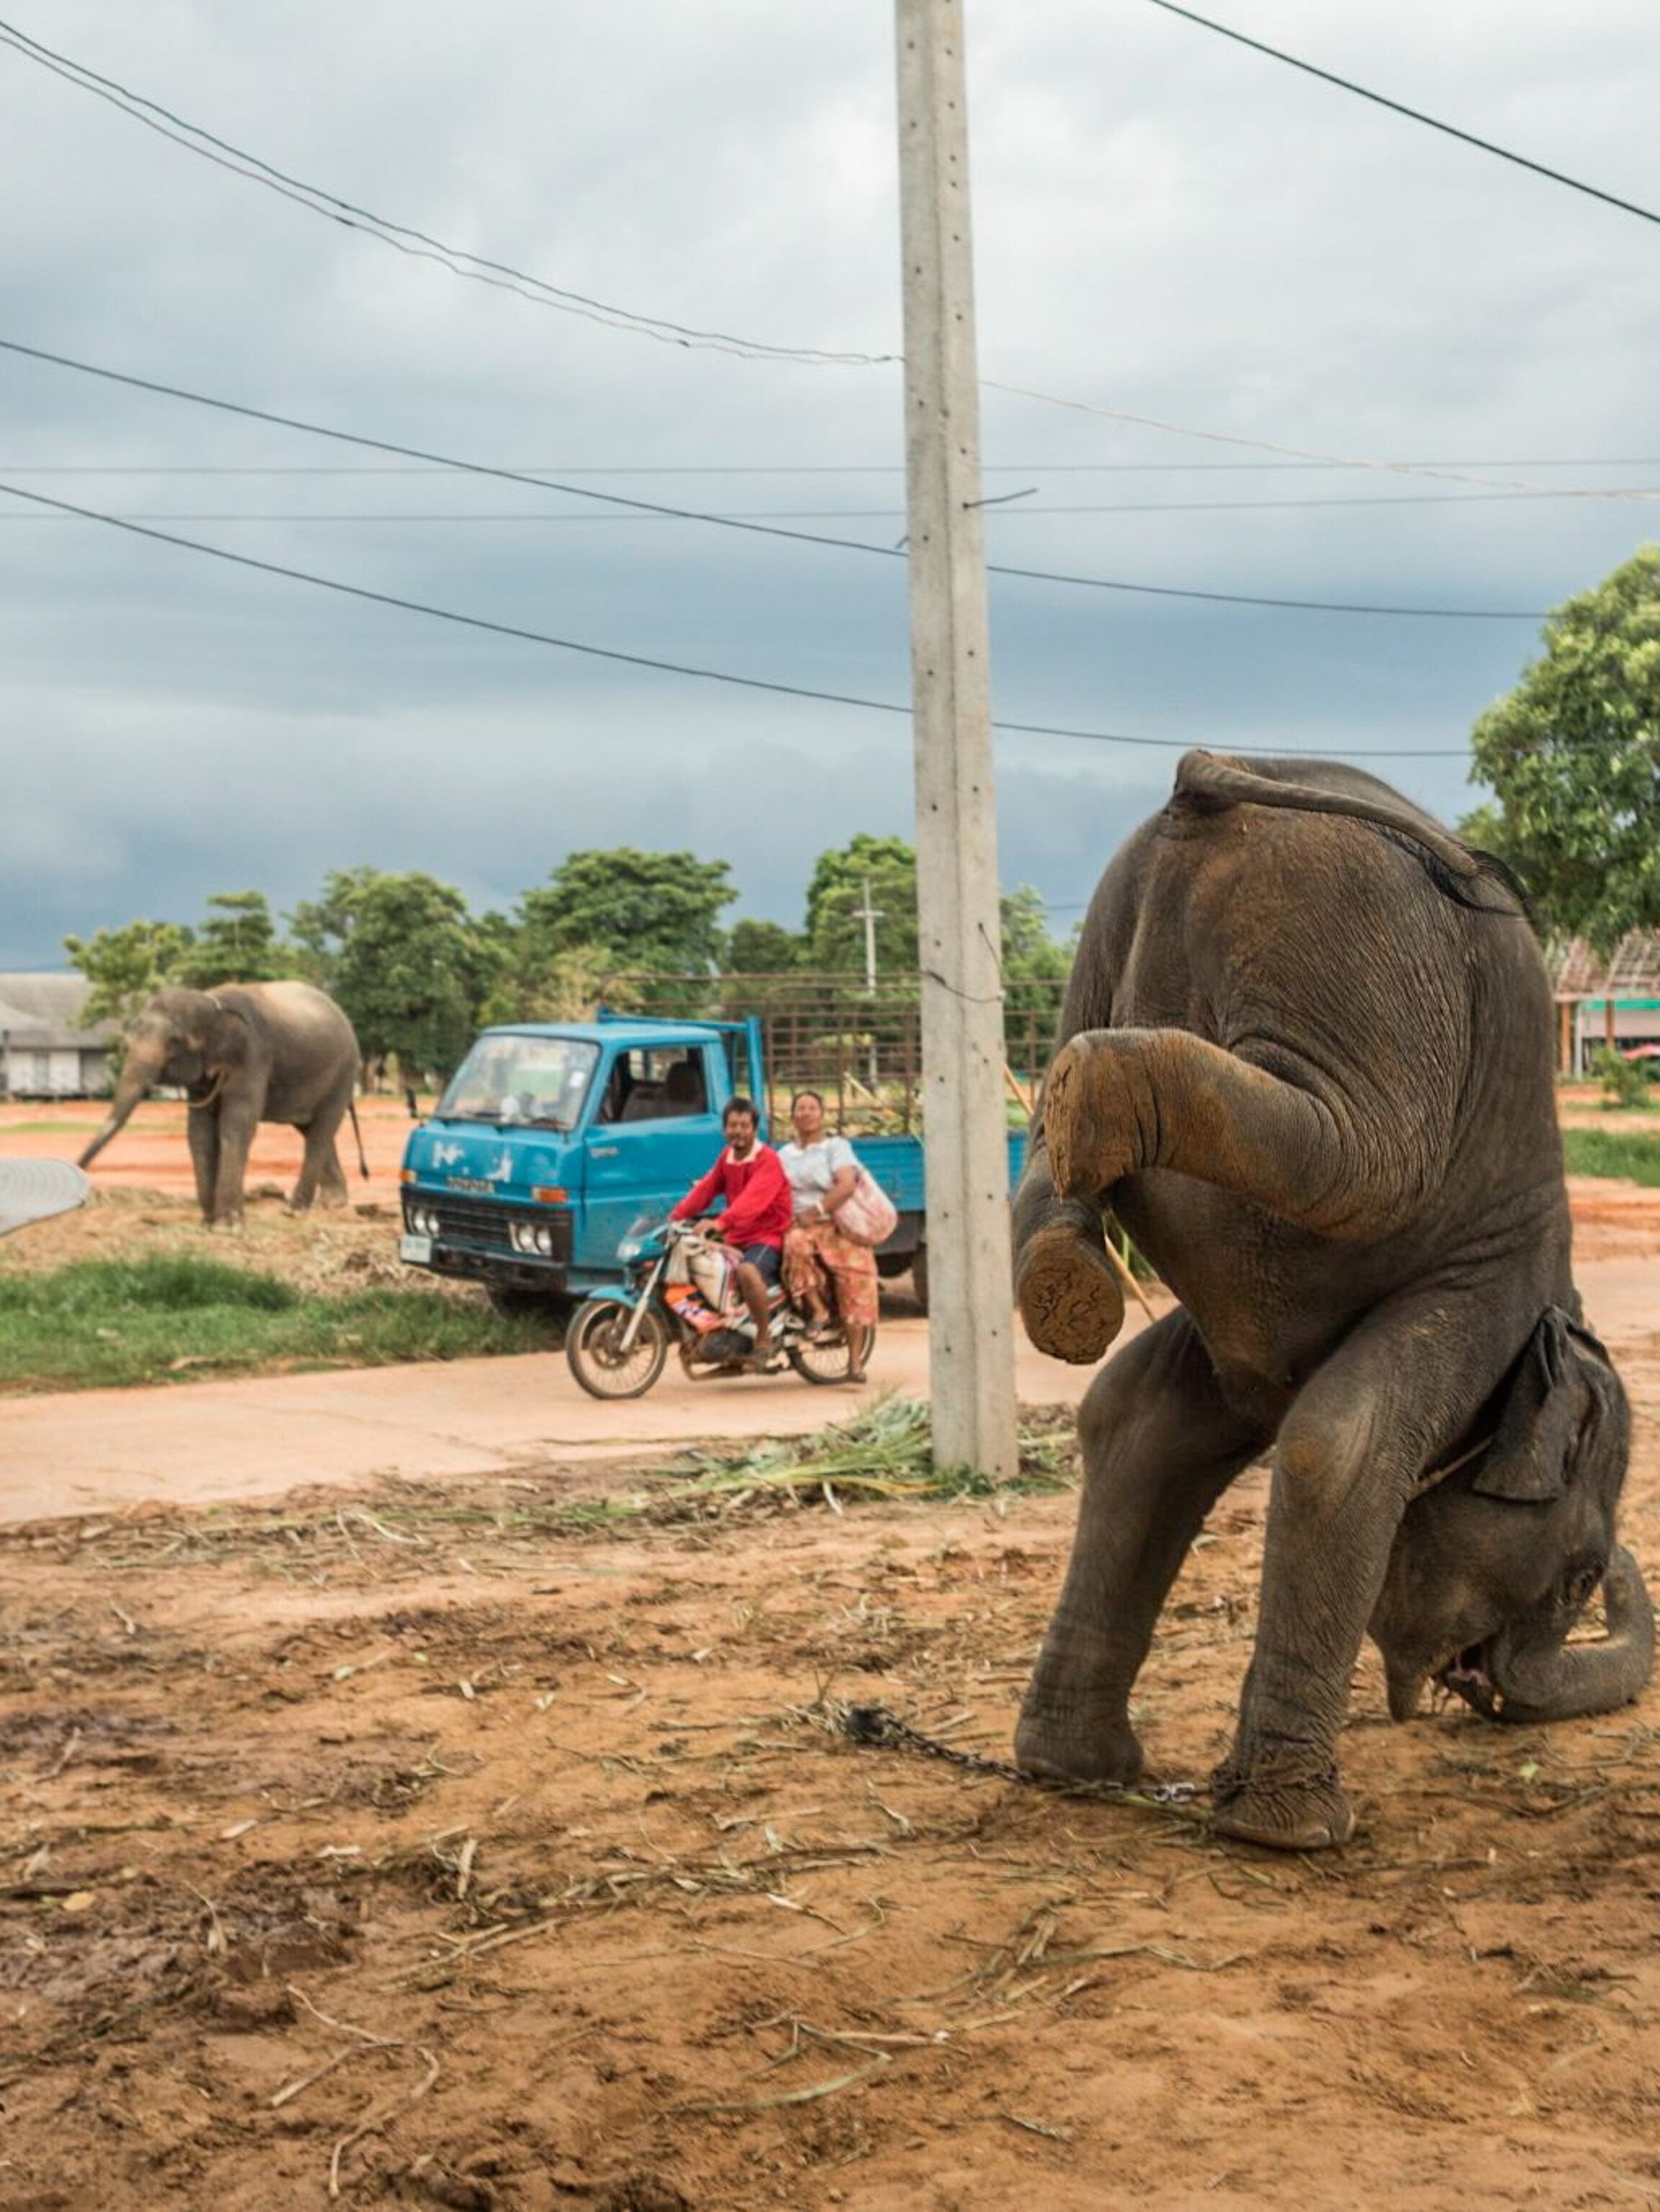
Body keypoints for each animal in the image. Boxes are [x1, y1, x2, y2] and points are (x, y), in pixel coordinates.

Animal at [79, 982, 366, 1227]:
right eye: (128, 1042)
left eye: (175, 1041)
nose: (82, 1197)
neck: (212, 1003)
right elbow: (199, 1130)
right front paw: (209, 1223)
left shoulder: (253, 1056)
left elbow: (235, 1125)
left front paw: (229, 1224)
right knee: (311, 1130)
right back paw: (333, 1204)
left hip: (343, 1073)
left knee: (321, 1130)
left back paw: (294, 1211)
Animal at [1012, 750, 1653, 1852]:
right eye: (1577, 1576)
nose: (1480, 1691)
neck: (1560, 1315)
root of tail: (1217, 778)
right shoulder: (1480, 1291)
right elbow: (1340, 1445)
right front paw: (1295, 1835)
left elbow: (1137, 1428)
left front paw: (1074, 1771)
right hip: (1366, 961)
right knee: (1359, 1155)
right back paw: (1098, 1097)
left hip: (1117, 932)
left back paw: (1065, 1252)